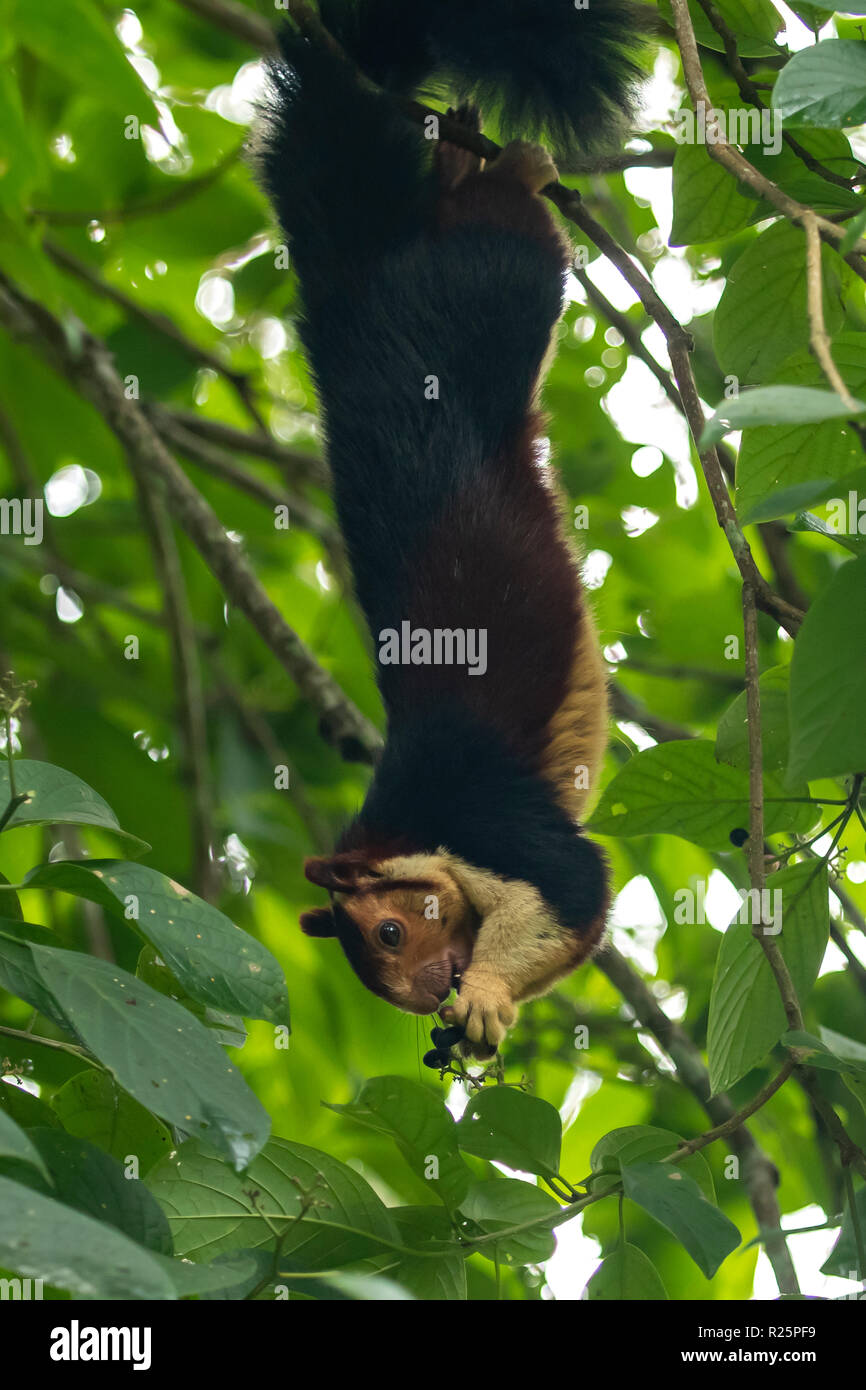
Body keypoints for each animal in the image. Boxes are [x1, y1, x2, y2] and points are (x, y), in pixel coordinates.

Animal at [255, 0, 648, 1058]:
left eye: (391, 930)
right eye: (370, 969)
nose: (429, 992)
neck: (408, 832)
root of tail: (356, 304)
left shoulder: (490, 814)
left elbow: (573, 890)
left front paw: (486, 996)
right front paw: (482, 1005)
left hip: (486, 298)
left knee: (508, 248)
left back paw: (510, 173)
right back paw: (458, 159)